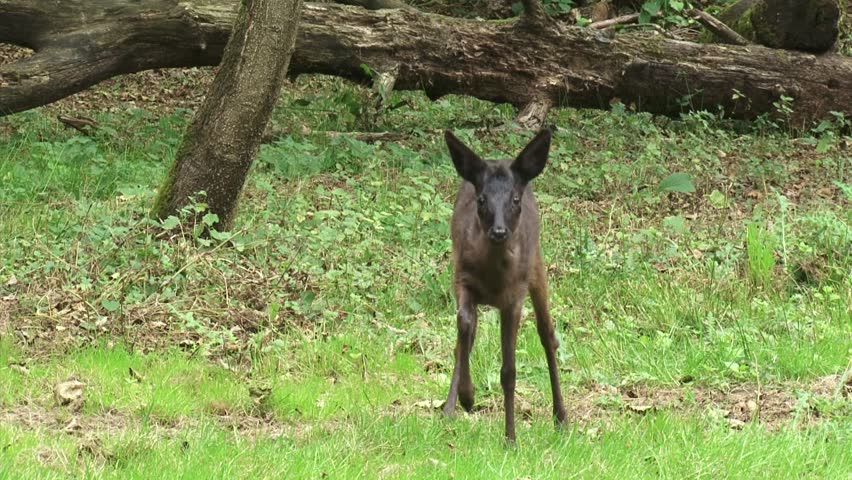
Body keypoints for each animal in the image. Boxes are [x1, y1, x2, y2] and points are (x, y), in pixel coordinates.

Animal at [441, 128, 567, 442]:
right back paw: (450, 407)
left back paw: (561, 416)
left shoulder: (514, 297)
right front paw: (466, 396)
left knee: (548, 334)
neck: (493, 276)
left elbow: (509, 371)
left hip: (536, 267)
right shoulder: (461, 277)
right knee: (466, 336)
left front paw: (510, 438)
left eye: (514, 199)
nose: (499, 231)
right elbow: (464, 329)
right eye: (481, 200)